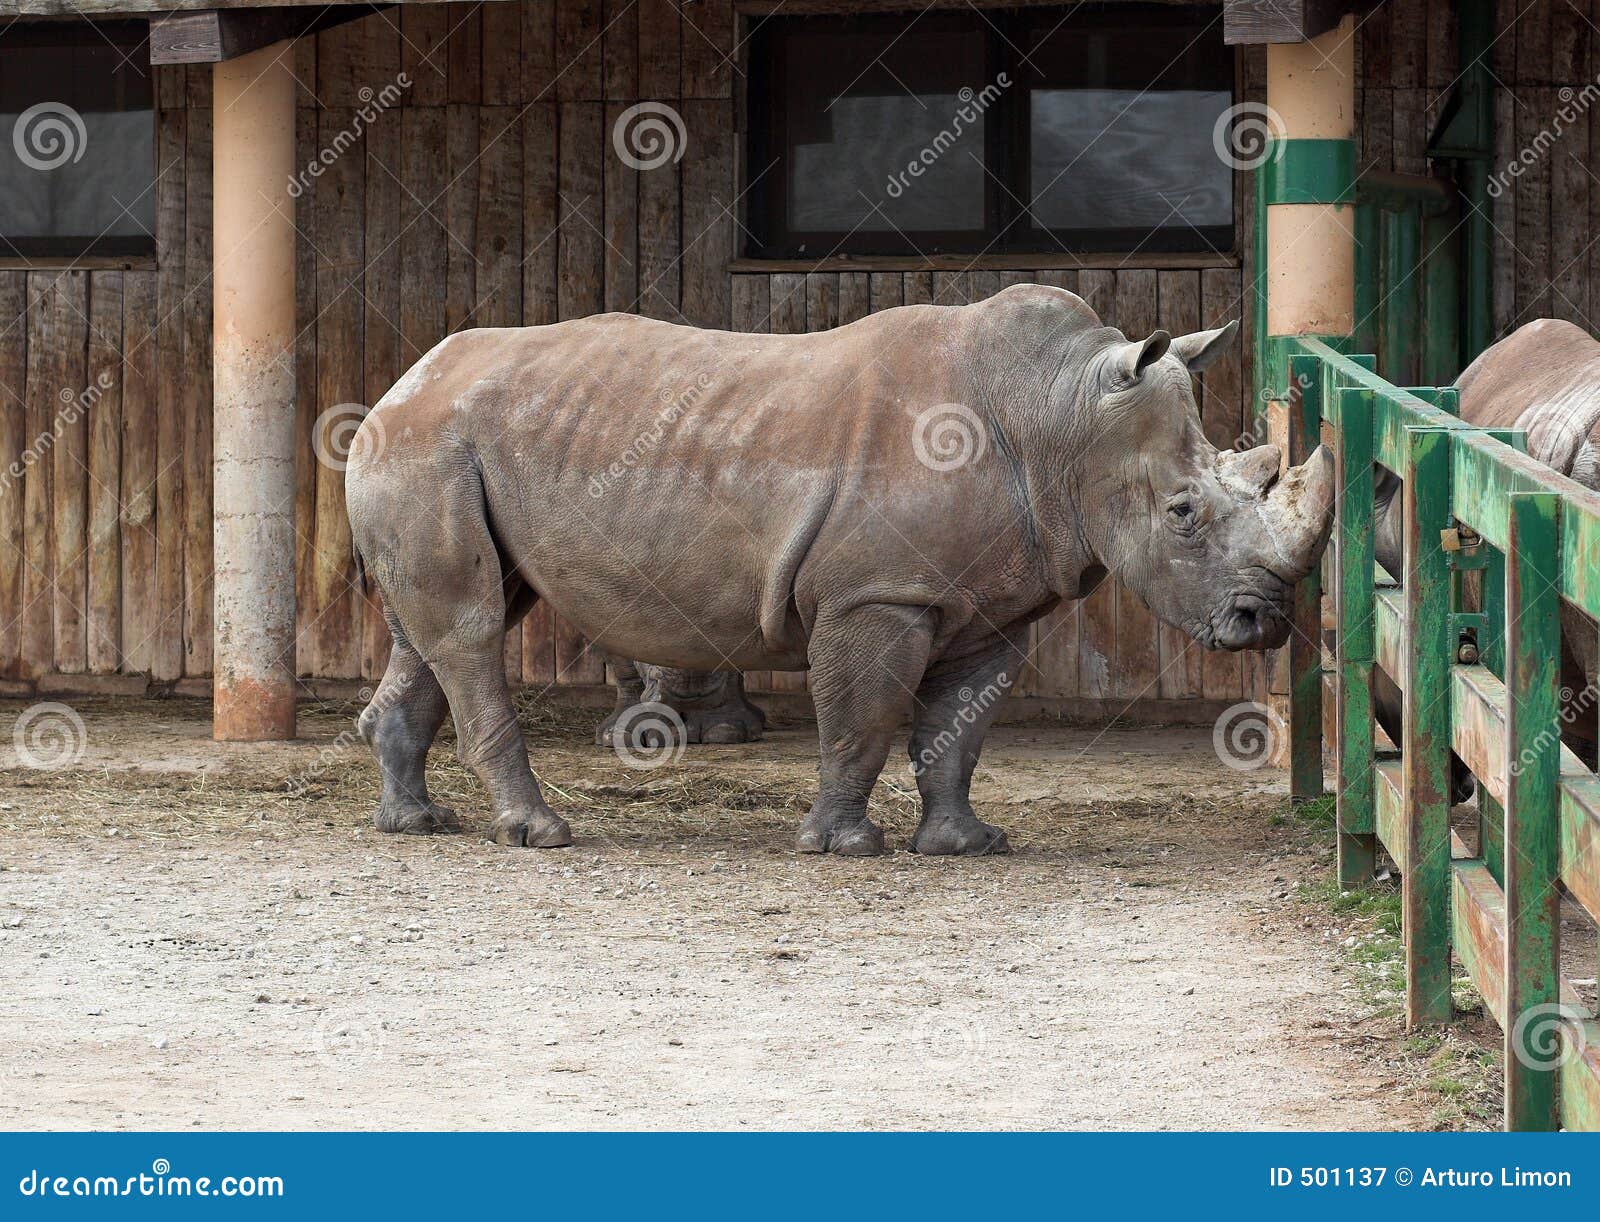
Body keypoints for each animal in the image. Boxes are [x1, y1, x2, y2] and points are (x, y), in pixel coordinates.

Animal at [345, 285, 1335, 855]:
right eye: (1182, 514)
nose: (1264, 621)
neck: (1061, 416)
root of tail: (395, 386)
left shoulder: (990, 604)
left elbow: (958, 729)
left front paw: (966, 845)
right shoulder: (879, 593)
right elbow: (863, 718)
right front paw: (845, 847)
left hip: (443, 446)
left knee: (437, 628)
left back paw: (415, 825)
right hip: (431, 444)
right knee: (472, 630)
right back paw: (540, 836)